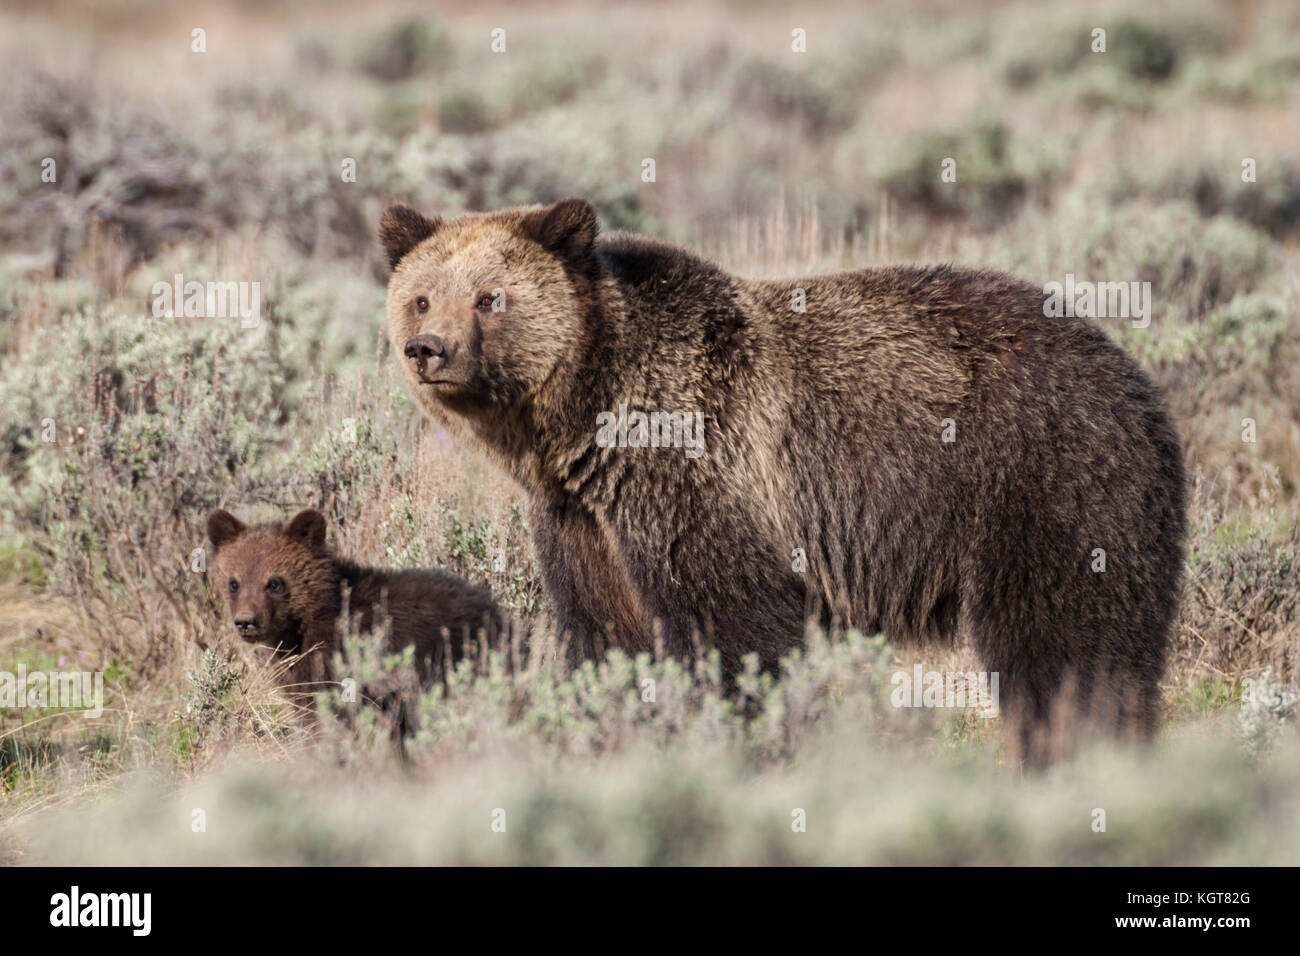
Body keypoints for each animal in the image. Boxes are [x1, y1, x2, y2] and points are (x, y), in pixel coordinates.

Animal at [378, 197, 1186, 756]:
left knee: (1067, 645)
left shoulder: (700, 475)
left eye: (490, 296)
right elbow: (608, 636)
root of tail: (1134, 375)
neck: (585, 423)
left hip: (1046, 481)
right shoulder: (582, 522)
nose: (429, 348)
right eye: (421, 295)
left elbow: (735, 628)